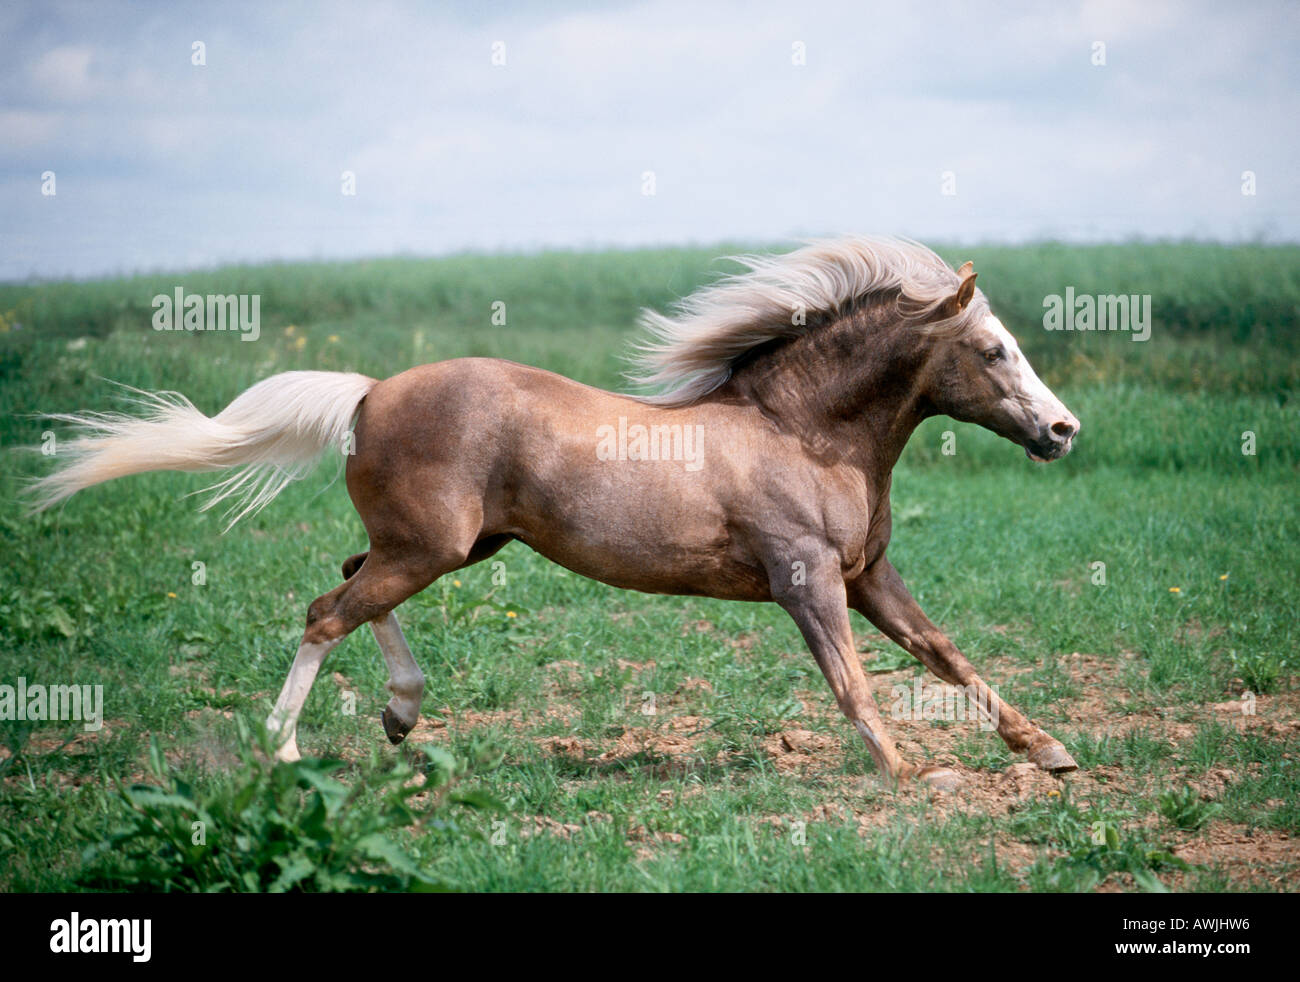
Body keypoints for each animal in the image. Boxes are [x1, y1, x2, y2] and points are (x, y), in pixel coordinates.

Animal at [29, 236, 1081, 790]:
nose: (1063, 430)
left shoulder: (866, 577)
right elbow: (855, 683)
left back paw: (402, 716)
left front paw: (1052, 752)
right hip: (431, 546)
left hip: (447, 545)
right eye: (992, 350)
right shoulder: (808, 580)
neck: (804, 432)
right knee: (327, 613)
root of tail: (370, 392)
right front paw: (913, 775)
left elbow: (943, 651)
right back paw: (286, 749)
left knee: (348, 587)